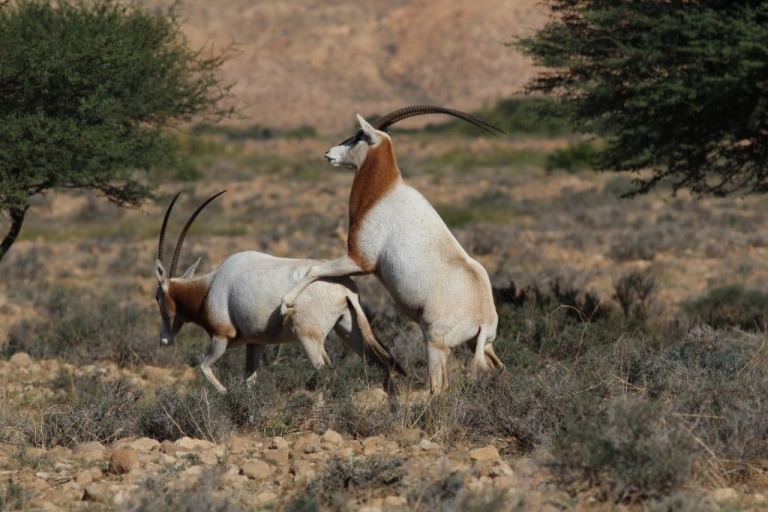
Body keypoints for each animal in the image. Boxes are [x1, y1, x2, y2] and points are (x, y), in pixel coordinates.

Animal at [154, 191, 404, 394]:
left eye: (157, 297)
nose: (164, 339)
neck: (209, 287)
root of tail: (346, 288)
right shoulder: (254, 343)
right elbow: (250, 380)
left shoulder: (220, 338)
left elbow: (204, 368)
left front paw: (225, 395)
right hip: (348, 328)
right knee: (378, 361)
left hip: (308, 337)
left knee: (325, 370)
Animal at [280, 106, 505, 394]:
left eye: (358, 135)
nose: (328, 153)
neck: (383, 191)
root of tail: (483, 320)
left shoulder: (359, 260)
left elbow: (315, 269)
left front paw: (285, 303)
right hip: (479, 346)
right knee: (499, 368)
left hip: (434, 342)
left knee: (437, 388)